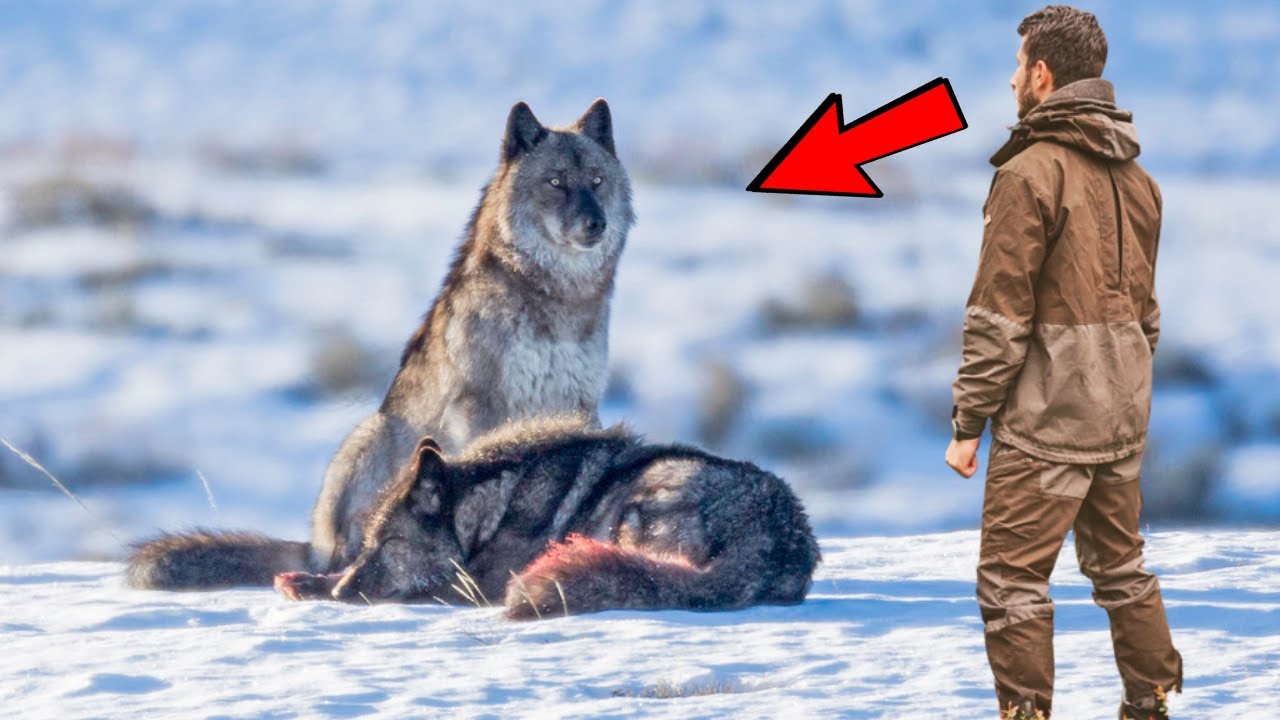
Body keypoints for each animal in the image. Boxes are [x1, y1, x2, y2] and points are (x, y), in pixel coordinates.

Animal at [127, 99, 635, 590]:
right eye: (556, 182)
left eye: (596, 181)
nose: (595, 223)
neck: (558, 302)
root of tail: (312, 547)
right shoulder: (481, 405)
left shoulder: (580, 402)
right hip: (371, 433)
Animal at [273, 417, 822, 620]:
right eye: (366, 544)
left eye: (388, 545)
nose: (345, 592)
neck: (493, 510)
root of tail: (776, 539)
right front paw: (315, 581)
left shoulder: (479, 585)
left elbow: (408, 592)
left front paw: (317, 586)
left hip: (638, 504)